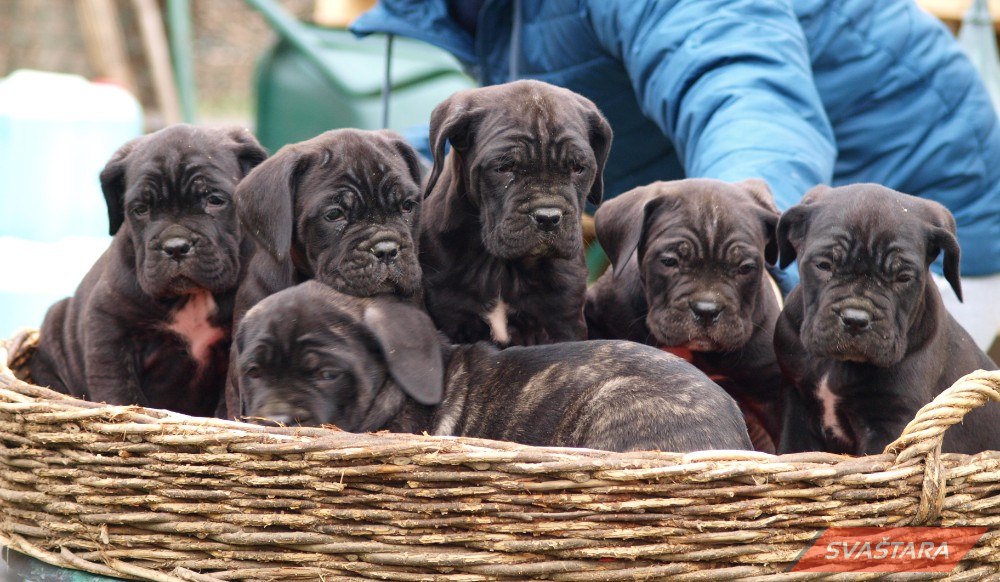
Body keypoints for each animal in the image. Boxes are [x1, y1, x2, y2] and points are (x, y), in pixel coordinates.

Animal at [418, 80, 612, 350]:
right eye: (504, 167)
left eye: (578, 168)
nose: (548, 217)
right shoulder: (451, 318)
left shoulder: (562, 320)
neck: (500, 267)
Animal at [772, 185, 1000, 458]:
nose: (855, 320)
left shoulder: (891, 423)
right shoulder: (797, 406)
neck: (839, 364)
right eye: (824, 265)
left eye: (903, 277)